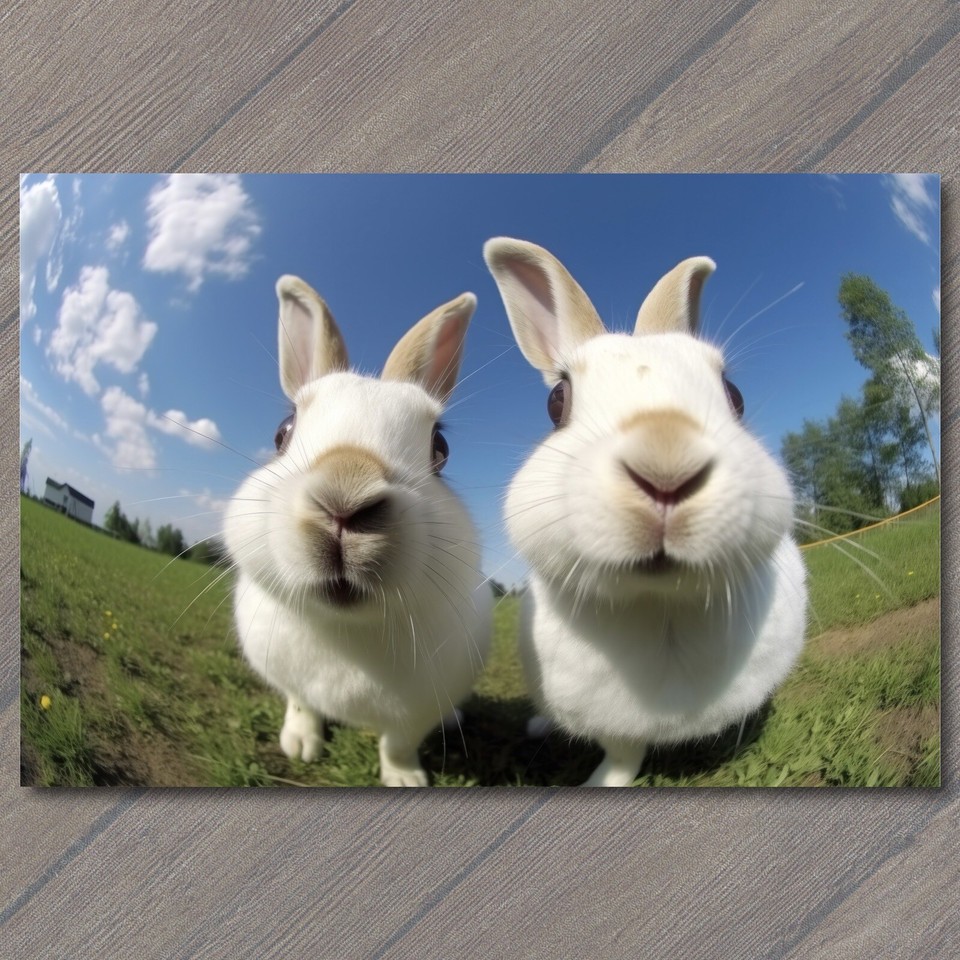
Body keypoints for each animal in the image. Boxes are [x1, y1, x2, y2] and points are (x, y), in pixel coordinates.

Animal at [223, 275, 493, 786]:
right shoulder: (291, 683)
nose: (345, 500)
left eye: (440, 448)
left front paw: (406, 780)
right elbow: (302, 705)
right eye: (282, 431)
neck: (343, 630)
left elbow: (397, 745)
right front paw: (300, 746)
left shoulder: (415, 712)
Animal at [484, 238, 808, 787]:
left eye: (735, 396)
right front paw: (600, 784)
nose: (666, 465)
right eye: (556, 401)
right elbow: (622, 754)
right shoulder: (610, 724)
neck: (662, 606)